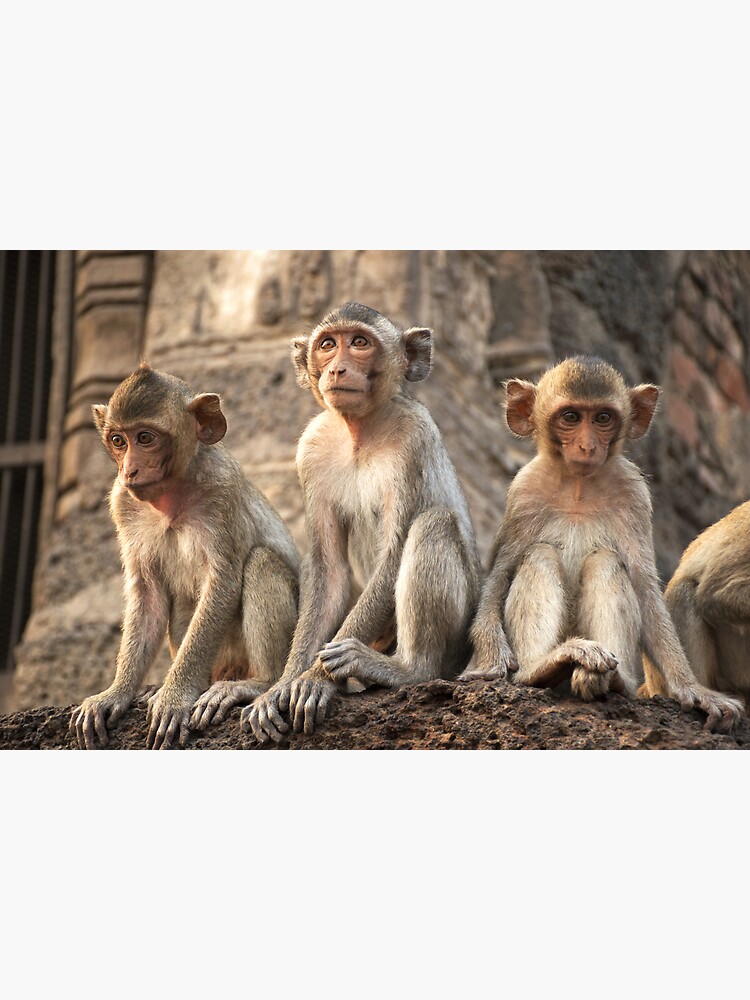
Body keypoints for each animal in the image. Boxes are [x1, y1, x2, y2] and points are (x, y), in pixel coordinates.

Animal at [69, 363, 299, 749]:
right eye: (118, 441)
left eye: (146, 438)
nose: (129, 469)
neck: (172, 496)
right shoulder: (122, 501)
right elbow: (148, 594)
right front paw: (116, 693)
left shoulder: (221, 489)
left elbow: (222, 585)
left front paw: (174, 696)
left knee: (261, 563)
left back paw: (255, 684)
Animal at [242, 302, 483, 743]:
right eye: (327, 345)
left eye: (359, 343)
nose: (337, 368)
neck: (359, 430)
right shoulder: (311, 448)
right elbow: (329, 569)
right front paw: (283, 684)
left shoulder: (413, 437)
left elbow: (393, 556)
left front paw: (315, 678)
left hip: (457, 645)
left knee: (434, 523)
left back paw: (407, 670)